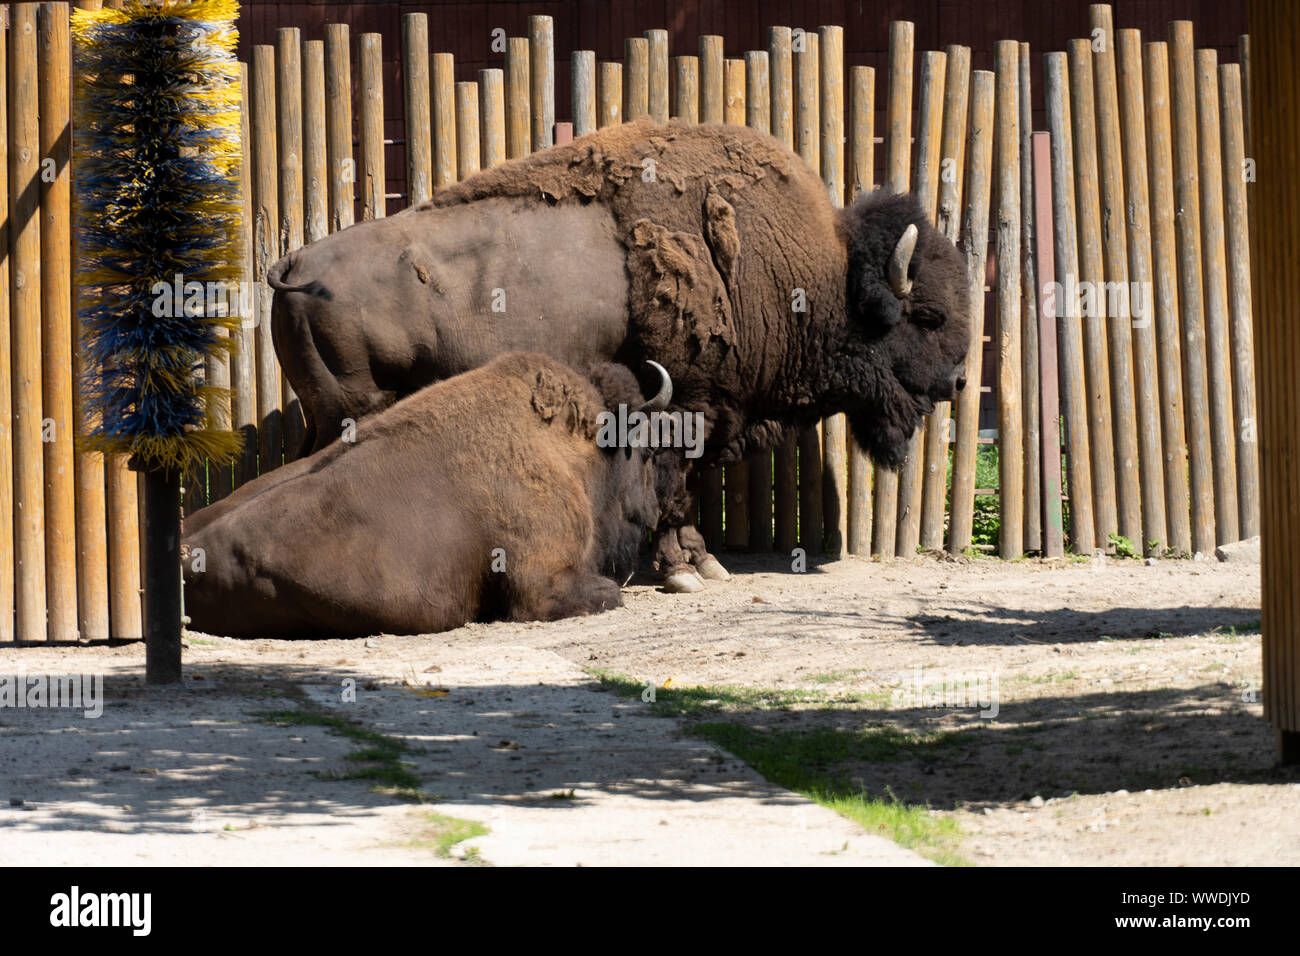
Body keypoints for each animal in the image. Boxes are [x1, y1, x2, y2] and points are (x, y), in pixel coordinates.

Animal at [182, 353, 670, 638]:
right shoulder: (544, 587)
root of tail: (187, 551)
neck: (571, 449)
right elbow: (607, 594)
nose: (653, 512)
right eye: (645, 453)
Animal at [269, 119, 970, 591]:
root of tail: (295, 265)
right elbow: (678, 490)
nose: (959, 382)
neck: (814, 276)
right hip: (348, 409)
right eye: (927, 317)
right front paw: (689, 569)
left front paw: (701, 565)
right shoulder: (691, 410)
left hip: (324, 411)